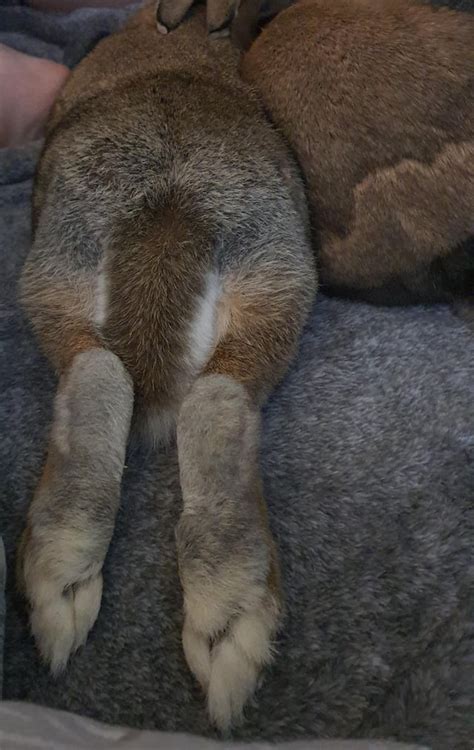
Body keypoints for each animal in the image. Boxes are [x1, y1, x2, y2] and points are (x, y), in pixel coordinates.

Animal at [16, 1, 316, 731]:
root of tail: (169, 192)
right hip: (273, 275)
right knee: (207, 394)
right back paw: (224, 620)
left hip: (59, 273)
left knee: (109, 374)